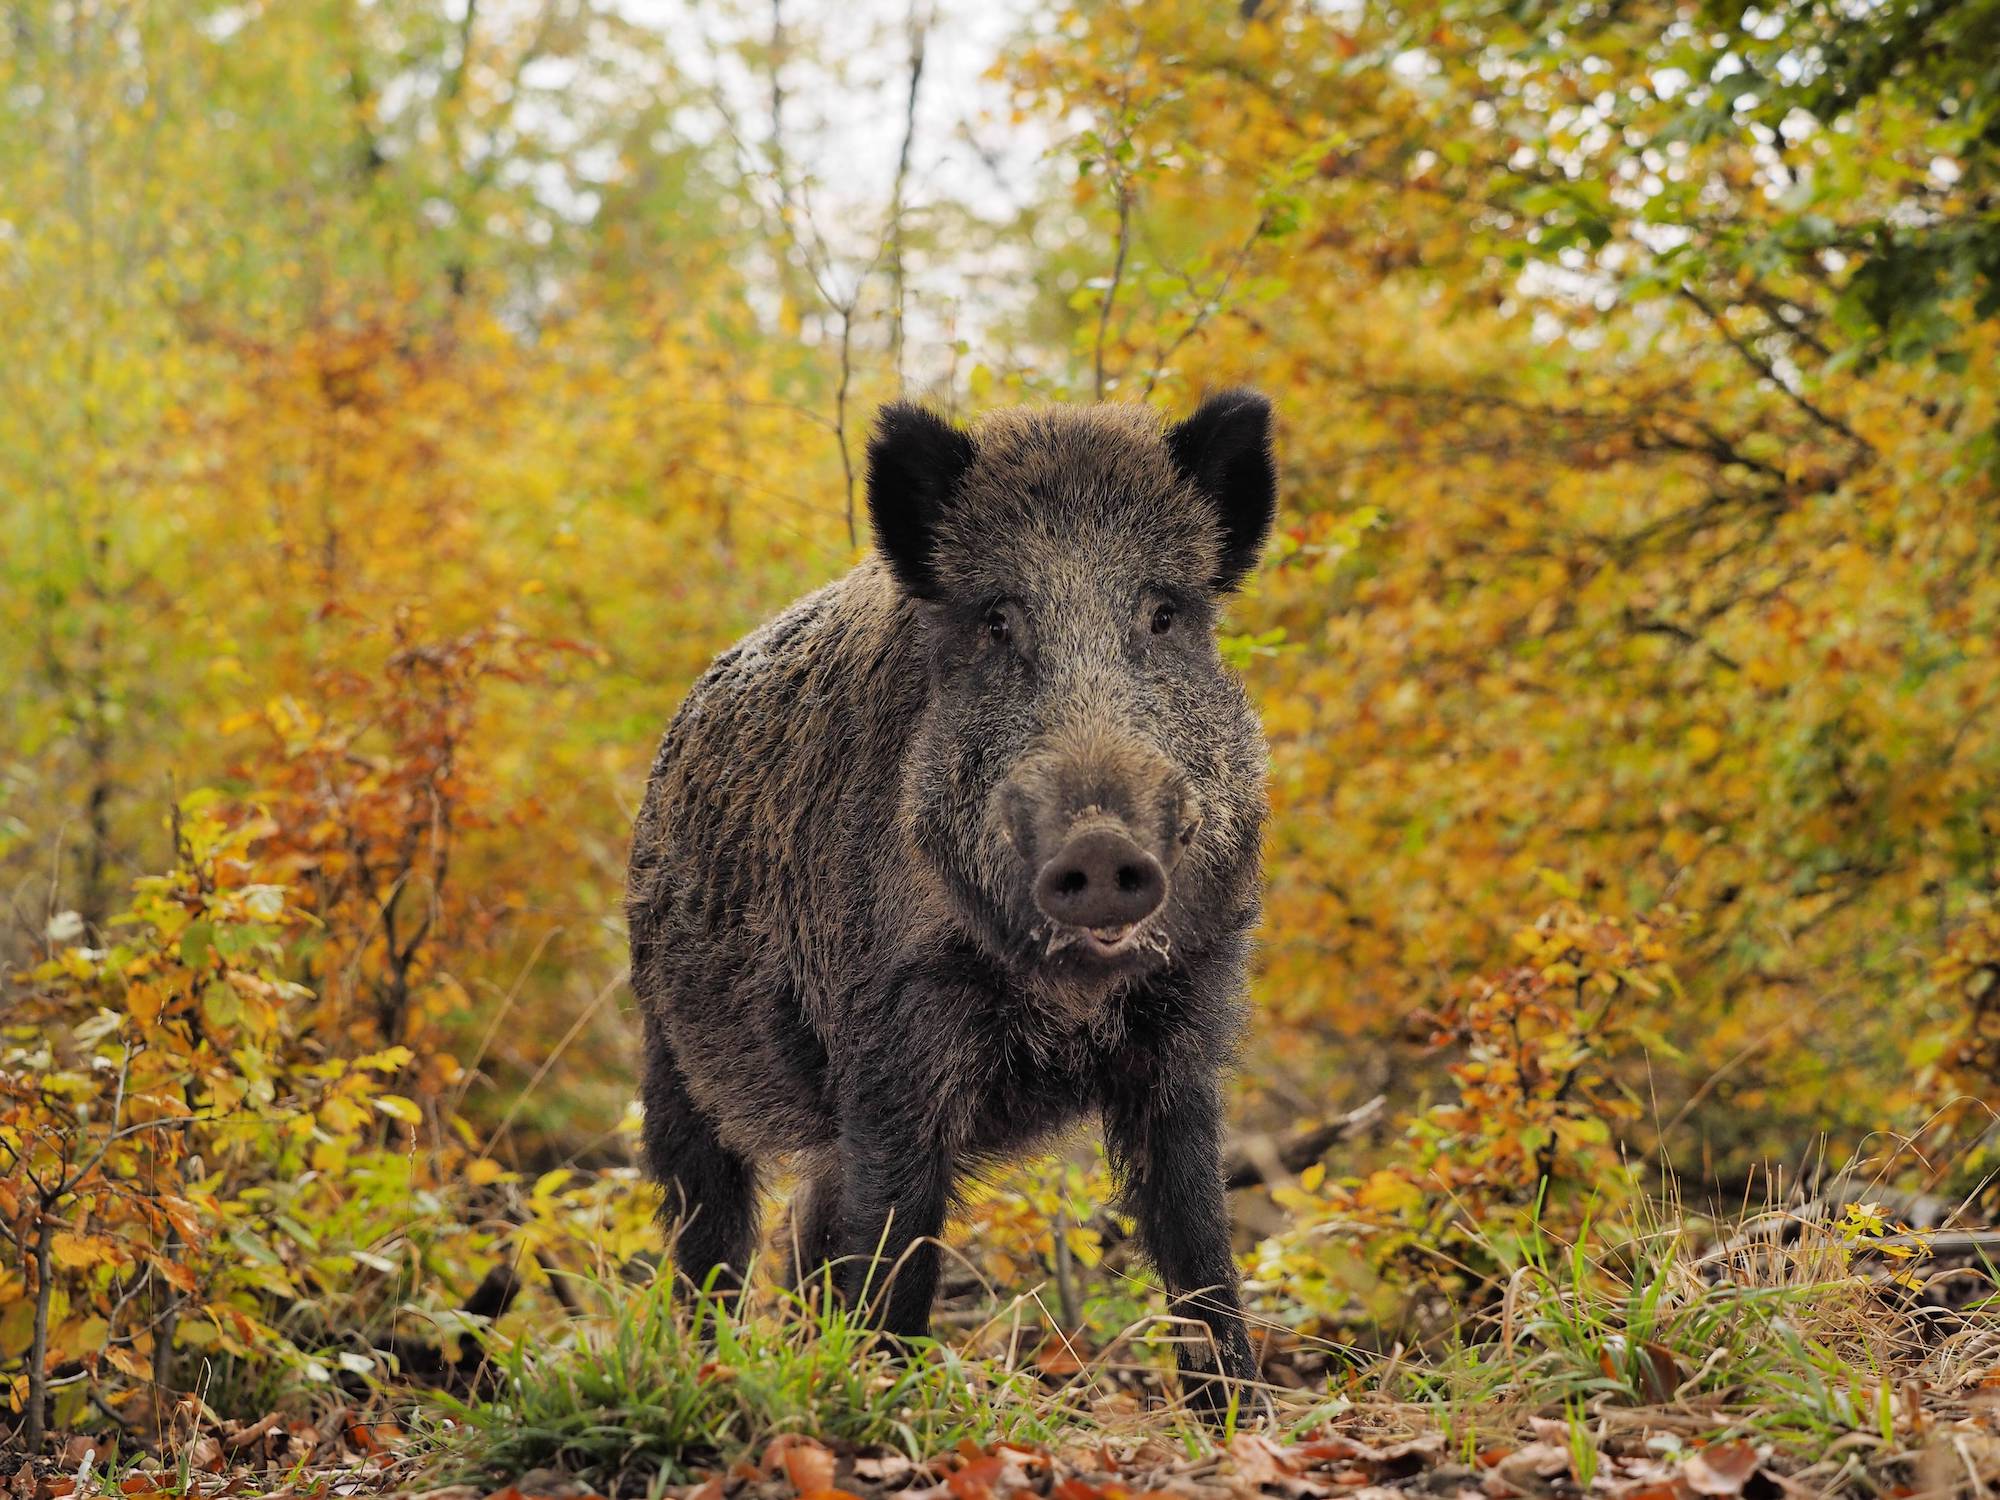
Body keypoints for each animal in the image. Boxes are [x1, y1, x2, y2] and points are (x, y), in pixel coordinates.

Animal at [626, 390, 1277, 1414]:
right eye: (997, 621)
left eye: (1166, 613)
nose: (1100, 847)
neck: (1064, 998)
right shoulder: (891, 1036)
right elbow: (900, 1251)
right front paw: (883, 1401)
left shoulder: (1185, 1028)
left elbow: (1200, 1247)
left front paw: (1241, 1421)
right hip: (670, 1047)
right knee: (711, 1233)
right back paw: (702, 1365)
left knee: (808, 1229)